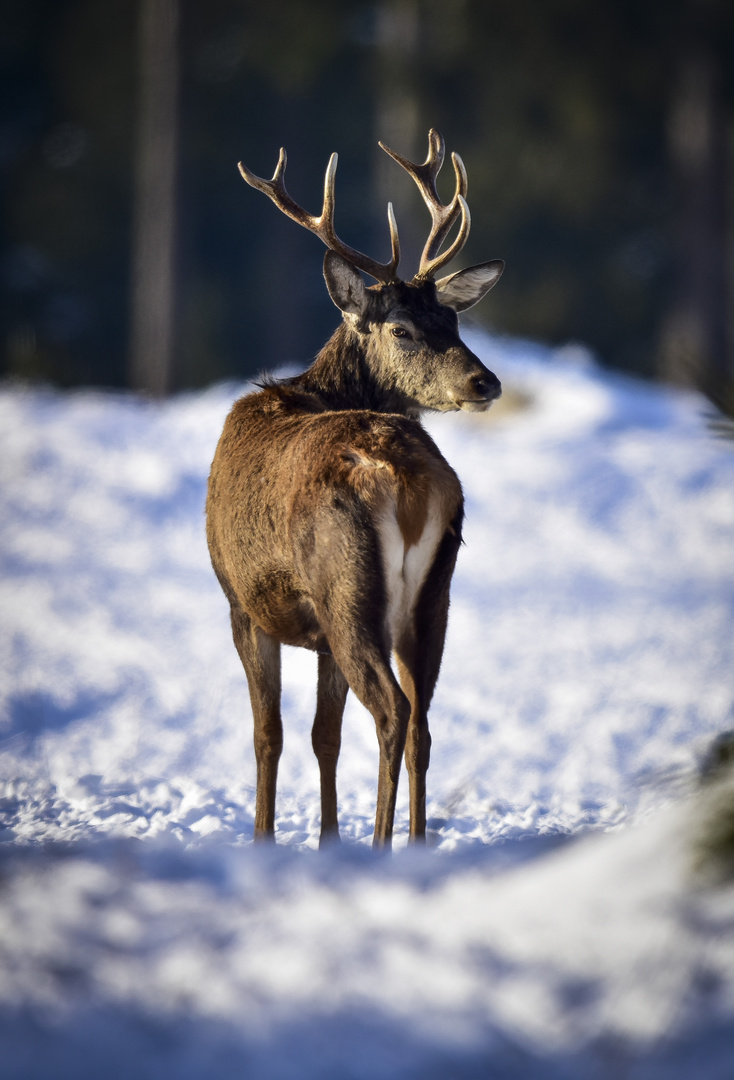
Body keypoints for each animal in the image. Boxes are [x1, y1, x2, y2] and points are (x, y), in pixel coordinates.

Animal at [208, 130, 505, 846]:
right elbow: (325, 735)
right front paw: (326, 841)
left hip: (346, 585)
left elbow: (269, 734)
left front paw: (266, 839)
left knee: (393, 711)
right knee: (422, 717)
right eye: (405, 328)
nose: (486, 382)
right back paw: (415, 844)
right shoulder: (315, 634)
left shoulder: (240, 600)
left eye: (454, 323)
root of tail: (406, 481)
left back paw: (380, 844)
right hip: (433, 594)